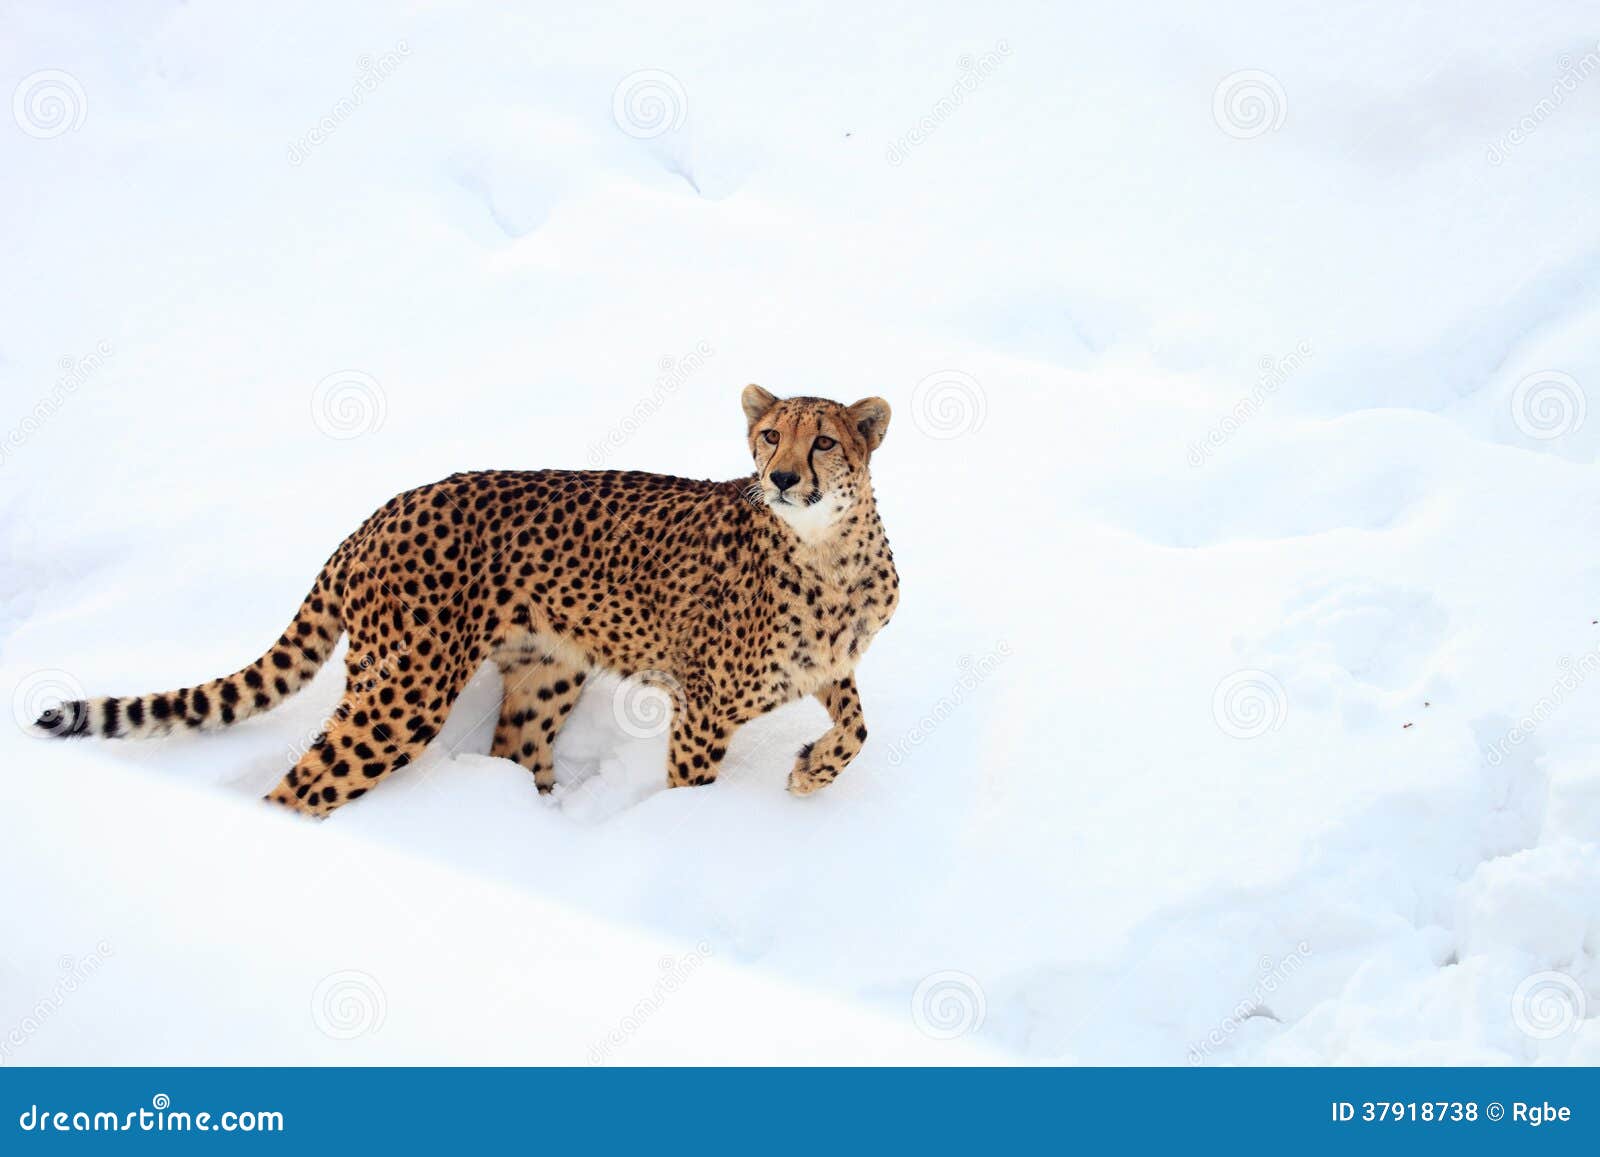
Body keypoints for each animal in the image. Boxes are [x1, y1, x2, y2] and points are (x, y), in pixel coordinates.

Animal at [32, 386, 899, 817]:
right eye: (770, 434)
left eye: (824, 440)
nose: (781, 476)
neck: (827, 554)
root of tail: (382, 511)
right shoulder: (704, 705)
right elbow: (695, 783)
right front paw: (696, 834)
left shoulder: (830, 667)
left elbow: (860, 725)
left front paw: (812, 771)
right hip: (404, 692)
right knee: (301, 786)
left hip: (546, 668)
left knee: (514, 749)